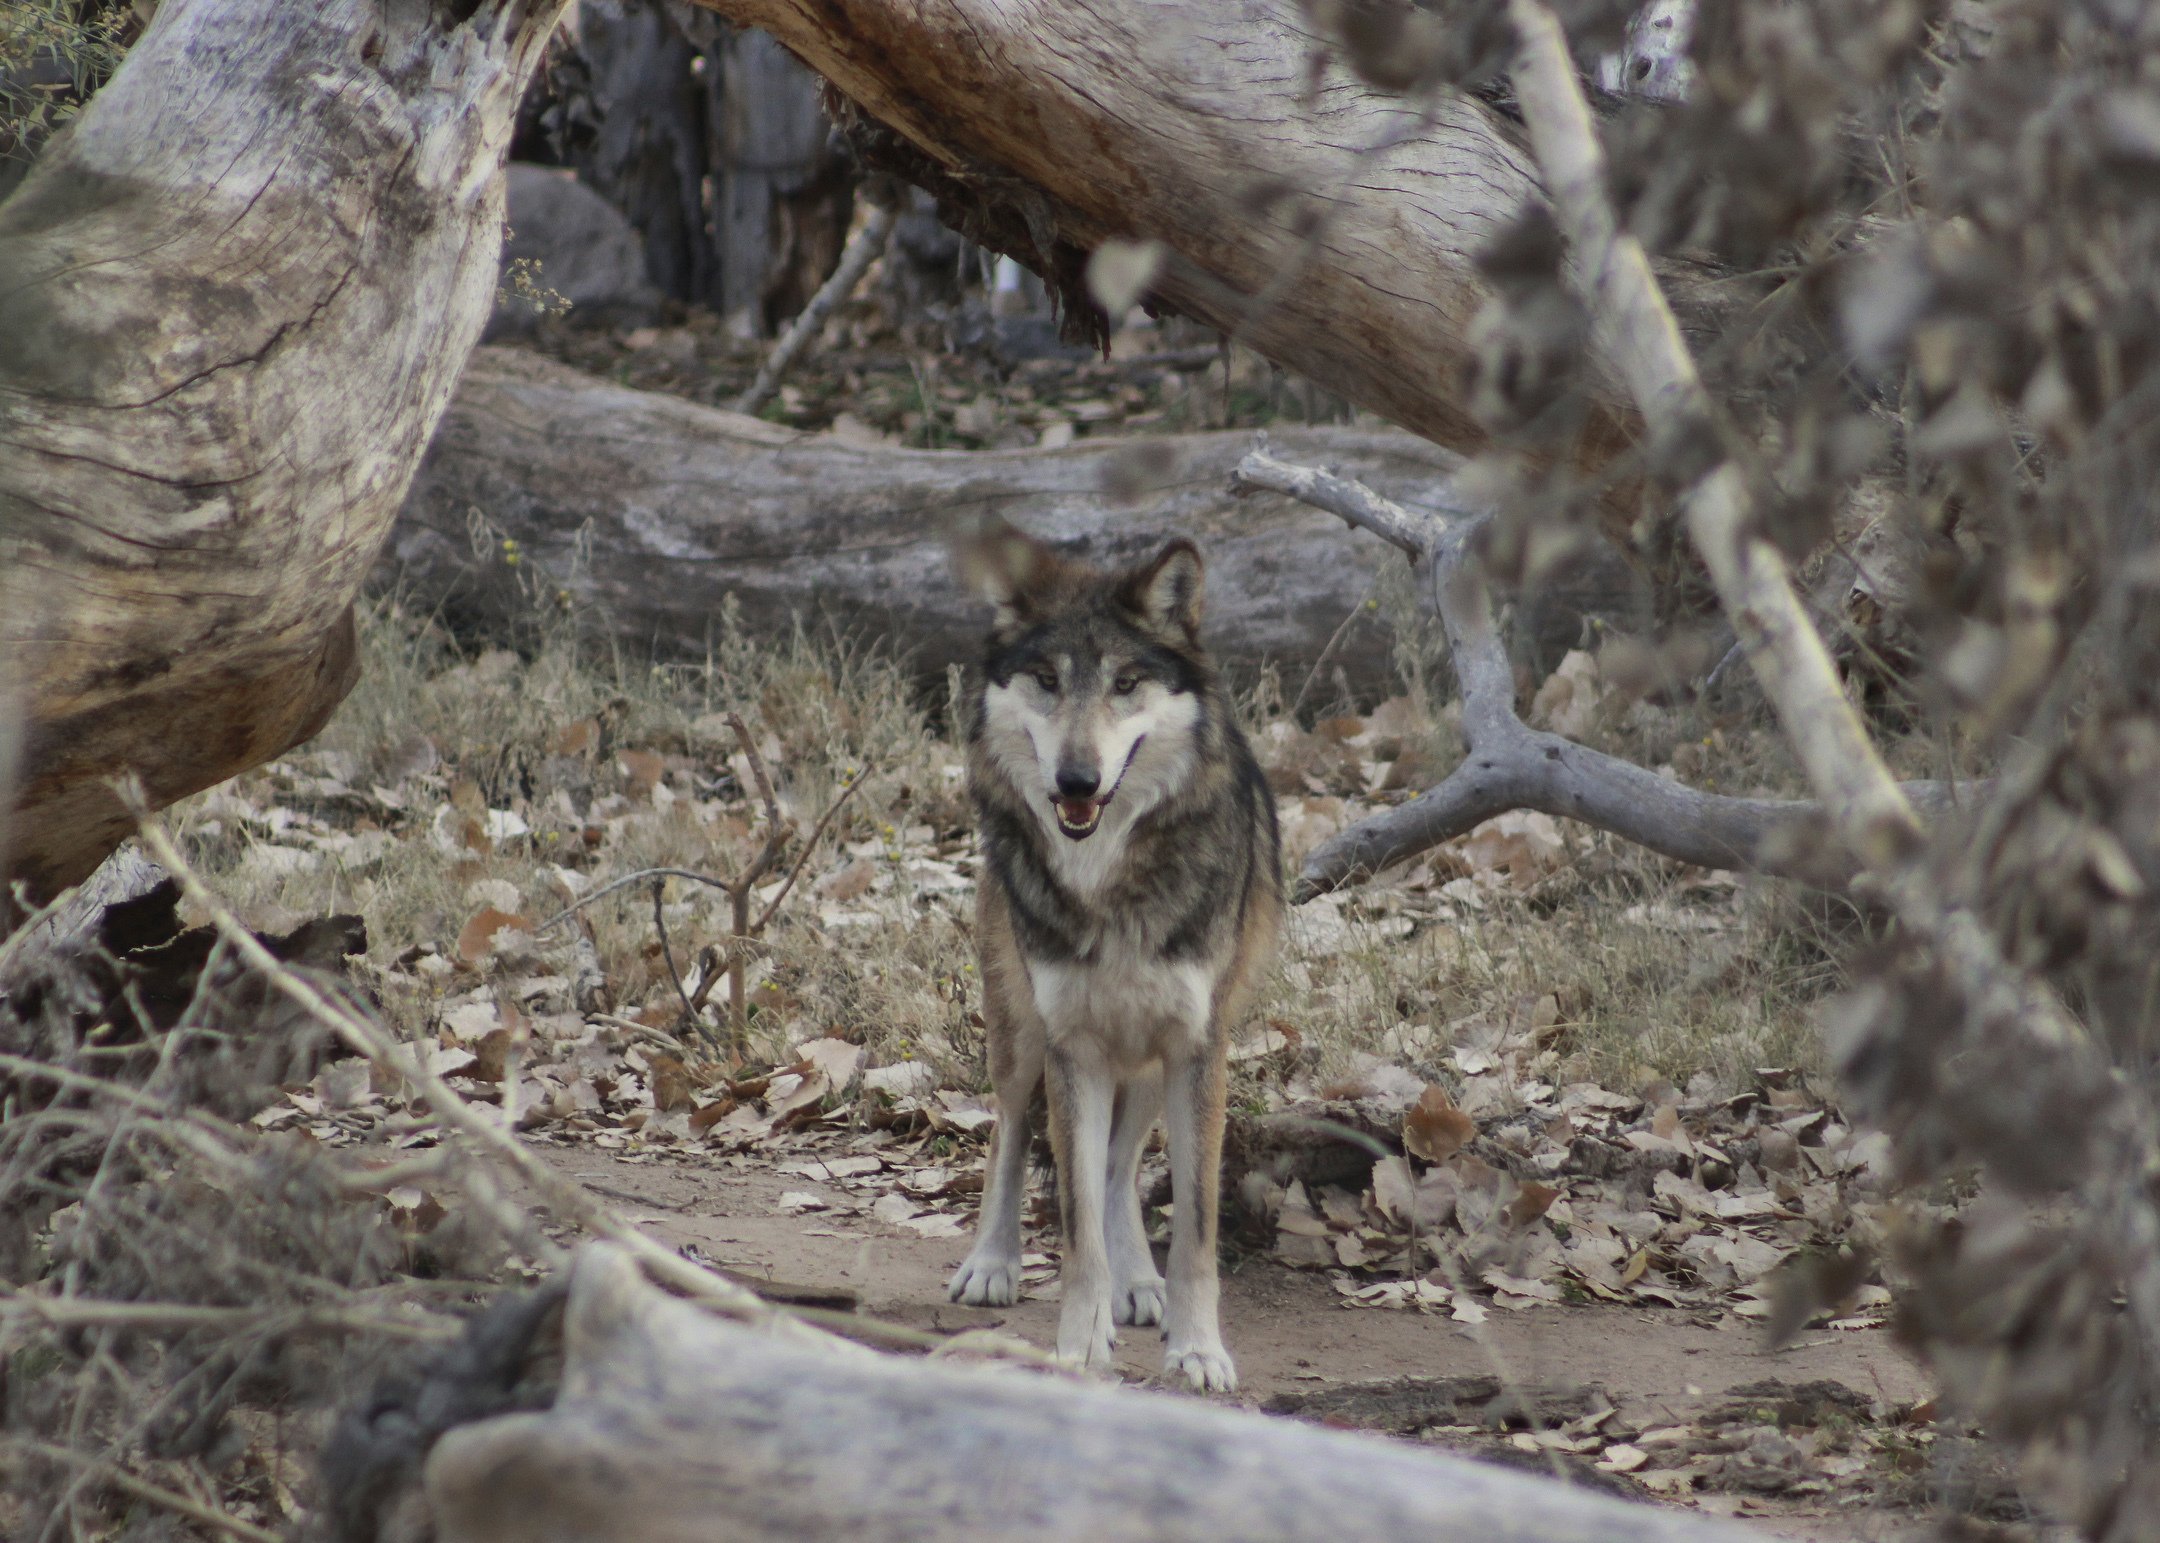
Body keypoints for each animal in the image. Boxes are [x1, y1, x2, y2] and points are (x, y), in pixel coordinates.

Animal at [945, 517, 1282, 1393]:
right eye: (1045, 680)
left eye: (1127, 682)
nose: (1076, 779)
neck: (1111, 880)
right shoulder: (1074, 1046)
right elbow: (1075, 1226)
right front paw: (1077, 1346)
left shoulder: (1197, 1045)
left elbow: (1193, 1225)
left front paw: (1196, 1348)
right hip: (1022, 1036)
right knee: (1011, 1134)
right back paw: (992, 1262)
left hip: (1154, 1064)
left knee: (1119, 1166)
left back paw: (1140, 1283)